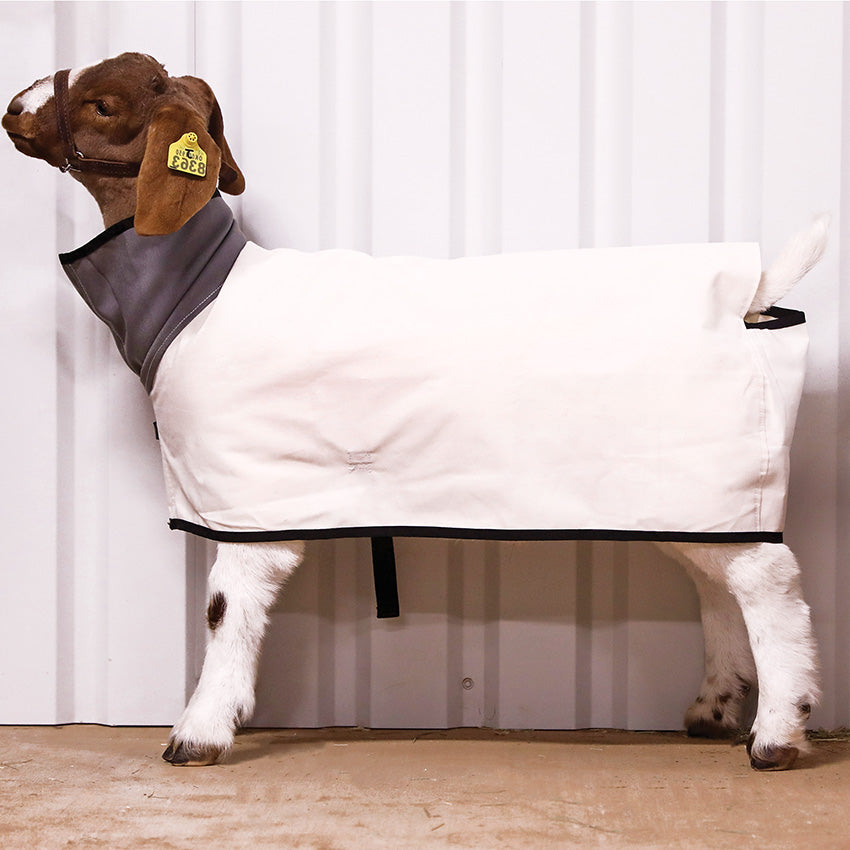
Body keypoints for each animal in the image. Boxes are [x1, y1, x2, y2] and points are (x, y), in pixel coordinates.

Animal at [3, 52, 827, 770]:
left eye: (102, 104)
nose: (13, 106)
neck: (199, 292)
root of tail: (750, 294)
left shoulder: (251, 493)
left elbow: (225, 609)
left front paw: (199, 733)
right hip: (683, 492)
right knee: (716, 582)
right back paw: (715, 706)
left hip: (715, 468)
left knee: (769, 586)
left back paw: (778, 733)